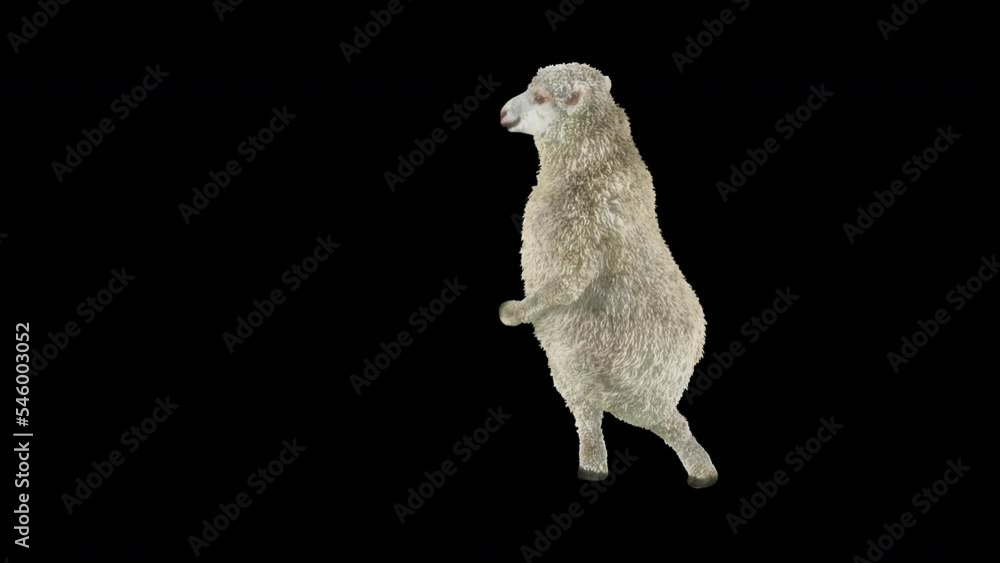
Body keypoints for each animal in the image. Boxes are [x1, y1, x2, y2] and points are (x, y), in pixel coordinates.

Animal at [498, 63, 718, 487]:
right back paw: (593, 466)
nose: (503, 114)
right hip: (577, 371)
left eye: (542, 98)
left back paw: (701, 473)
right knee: (592, 415)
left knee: (673, 426)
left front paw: (513, 312)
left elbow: (568, 282)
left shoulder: (583, 232)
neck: (594, 161)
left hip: (629, 385)